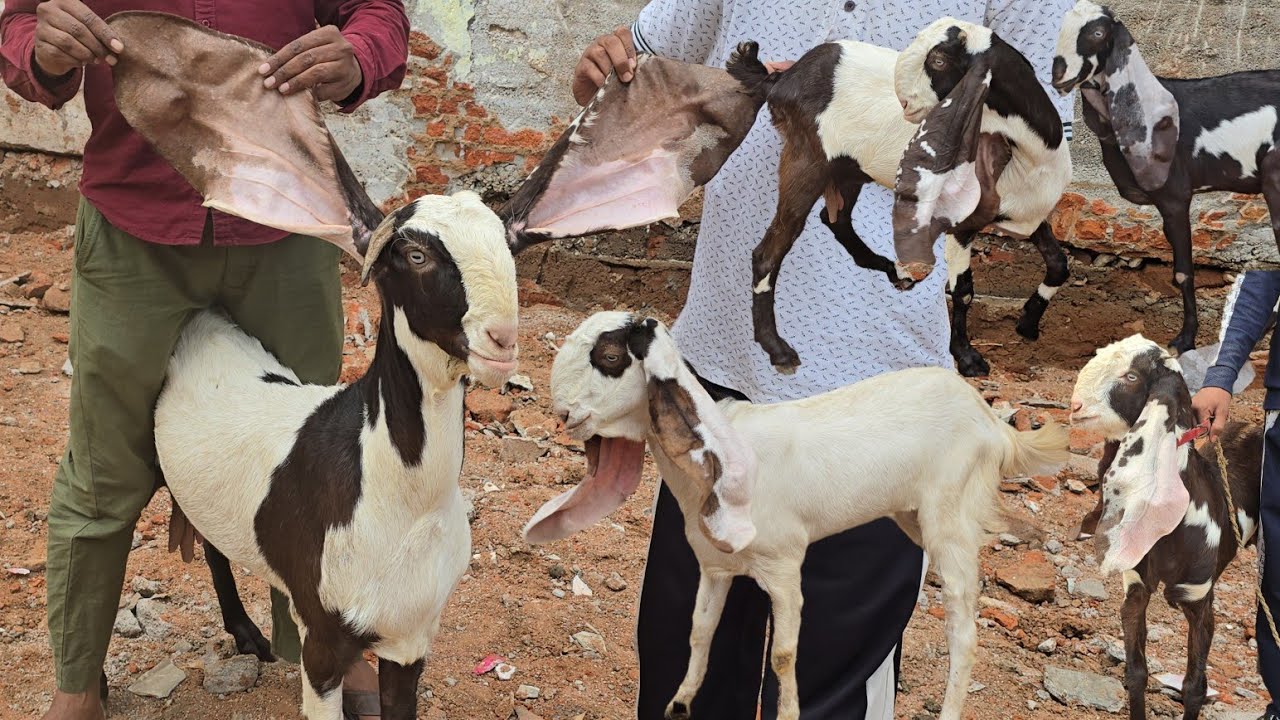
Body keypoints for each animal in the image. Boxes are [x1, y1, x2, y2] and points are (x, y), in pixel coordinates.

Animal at [152, 191, 520, 720]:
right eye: (417, 256)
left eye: (511, 245)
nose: (503, 339)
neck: (401, 501)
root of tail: (205, 321)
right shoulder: (323, 641)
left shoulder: (409, 639)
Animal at [732, 20, 1072, 378]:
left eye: (938, 60)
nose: (905, 104)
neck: (1030, 158)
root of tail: (784, 78)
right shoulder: (962, 224)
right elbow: (963, 291)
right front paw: (967, 358)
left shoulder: (1030, 216)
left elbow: (1059, 264)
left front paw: (1028, 324)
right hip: (806, 158)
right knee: (768, 252)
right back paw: (779, 351)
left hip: (849, 169)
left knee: (836, 219)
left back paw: (894, 271)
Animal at [1070, 334, 1261, 720]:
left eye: (1131, 376)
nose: (1075, 405)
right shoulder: (1136, 588)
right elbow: (1136, 672)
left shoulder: (1199, 598)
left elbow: (1194, 686)